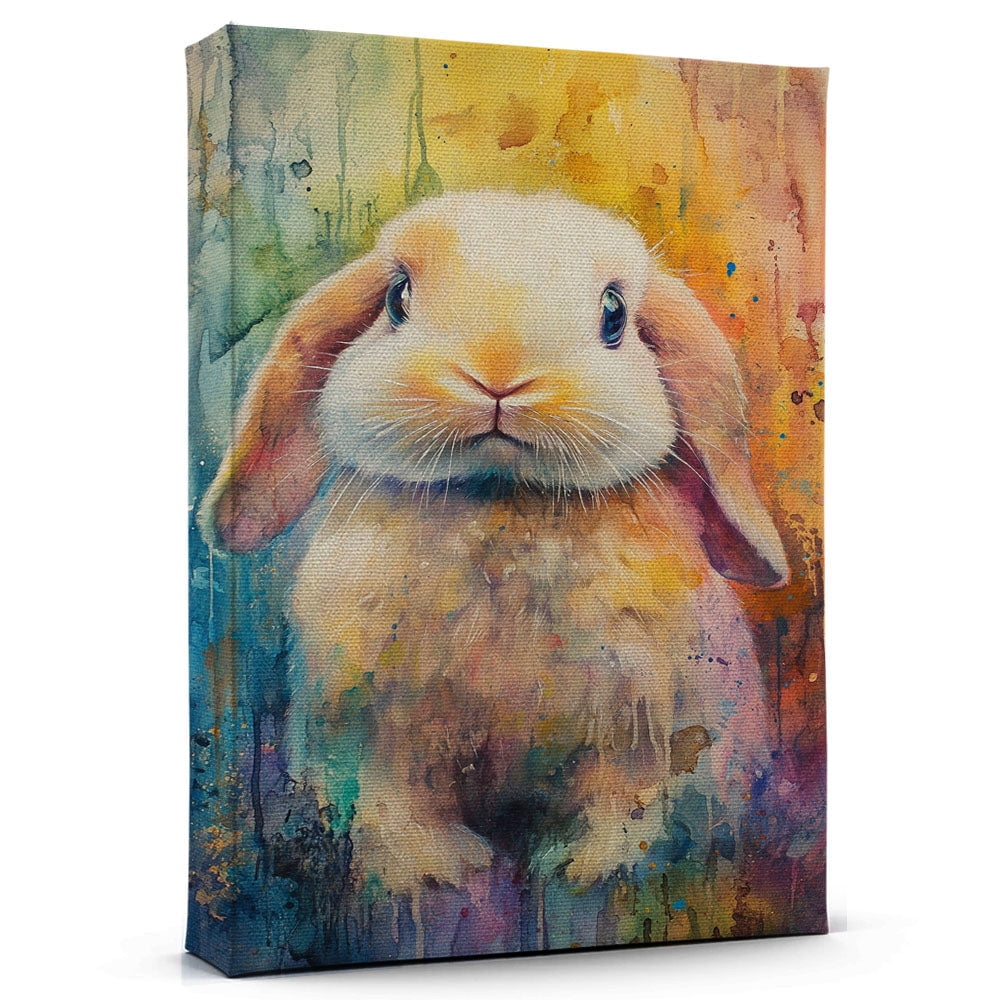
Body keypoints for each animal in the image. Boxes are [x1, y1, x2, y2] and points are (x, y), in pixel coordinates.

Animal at [200, 189, 789, 898]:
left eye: (614, 315)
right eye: (397, 297)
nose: (499, 377)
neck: (502, 504)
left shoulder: (639, 722)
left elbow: (624, 803)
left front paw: (586, 870)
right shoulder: (374, 724)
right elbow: (392, 800)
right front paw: (434, 873)